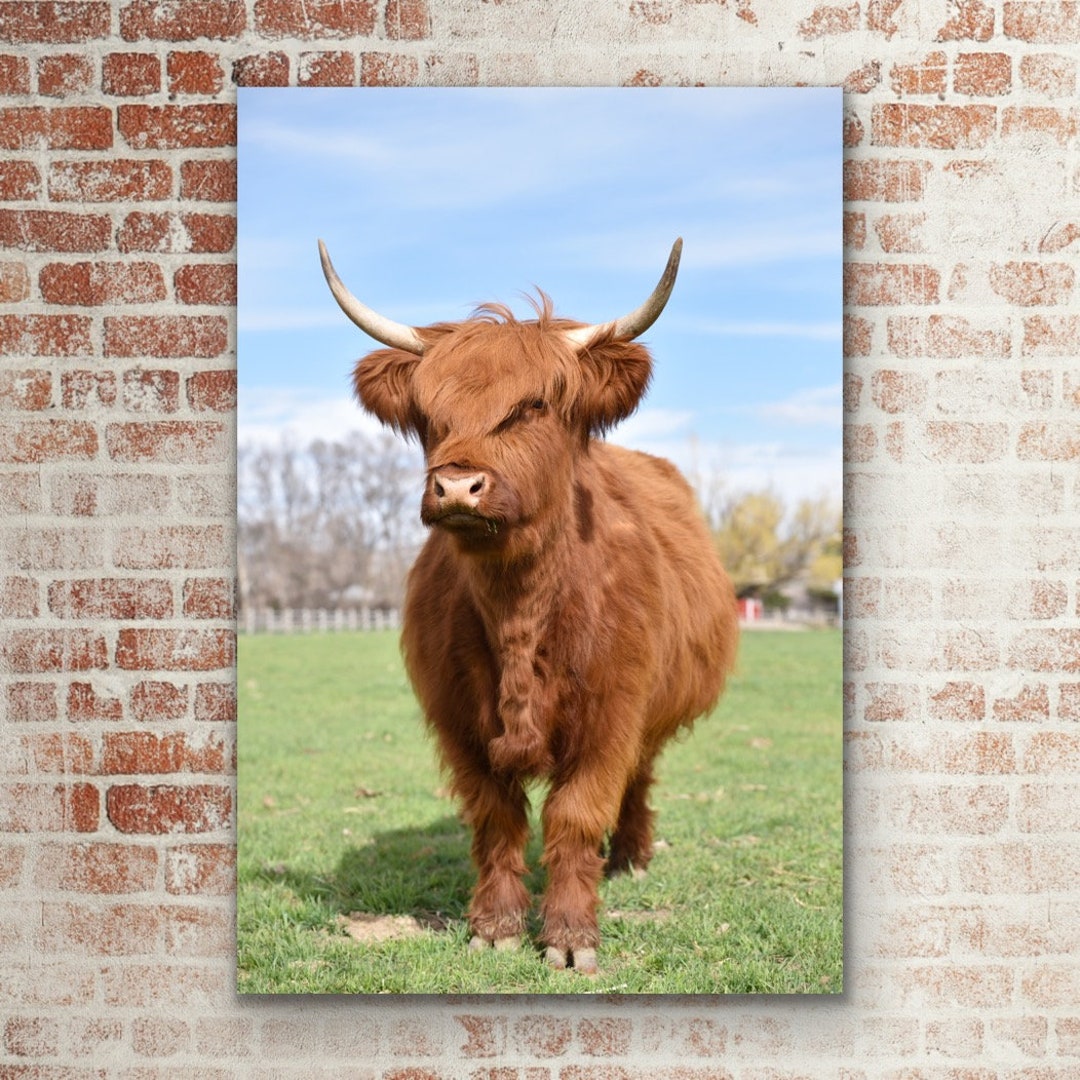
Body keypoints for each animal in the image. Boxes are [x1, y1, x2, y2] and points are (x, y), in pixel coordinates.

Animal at [319, 237, 739, 974]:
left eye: (533, 405)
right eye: (428, 415)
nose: (457, 486)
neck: (519, 610)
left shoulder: (611, 716)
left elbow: (575, 815)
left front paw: (571, 937)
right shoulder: (459, 723)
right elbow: (497, 817)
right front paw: (495, 925)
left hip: (653, 713)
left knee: (640, 777)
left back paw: (630, 857)